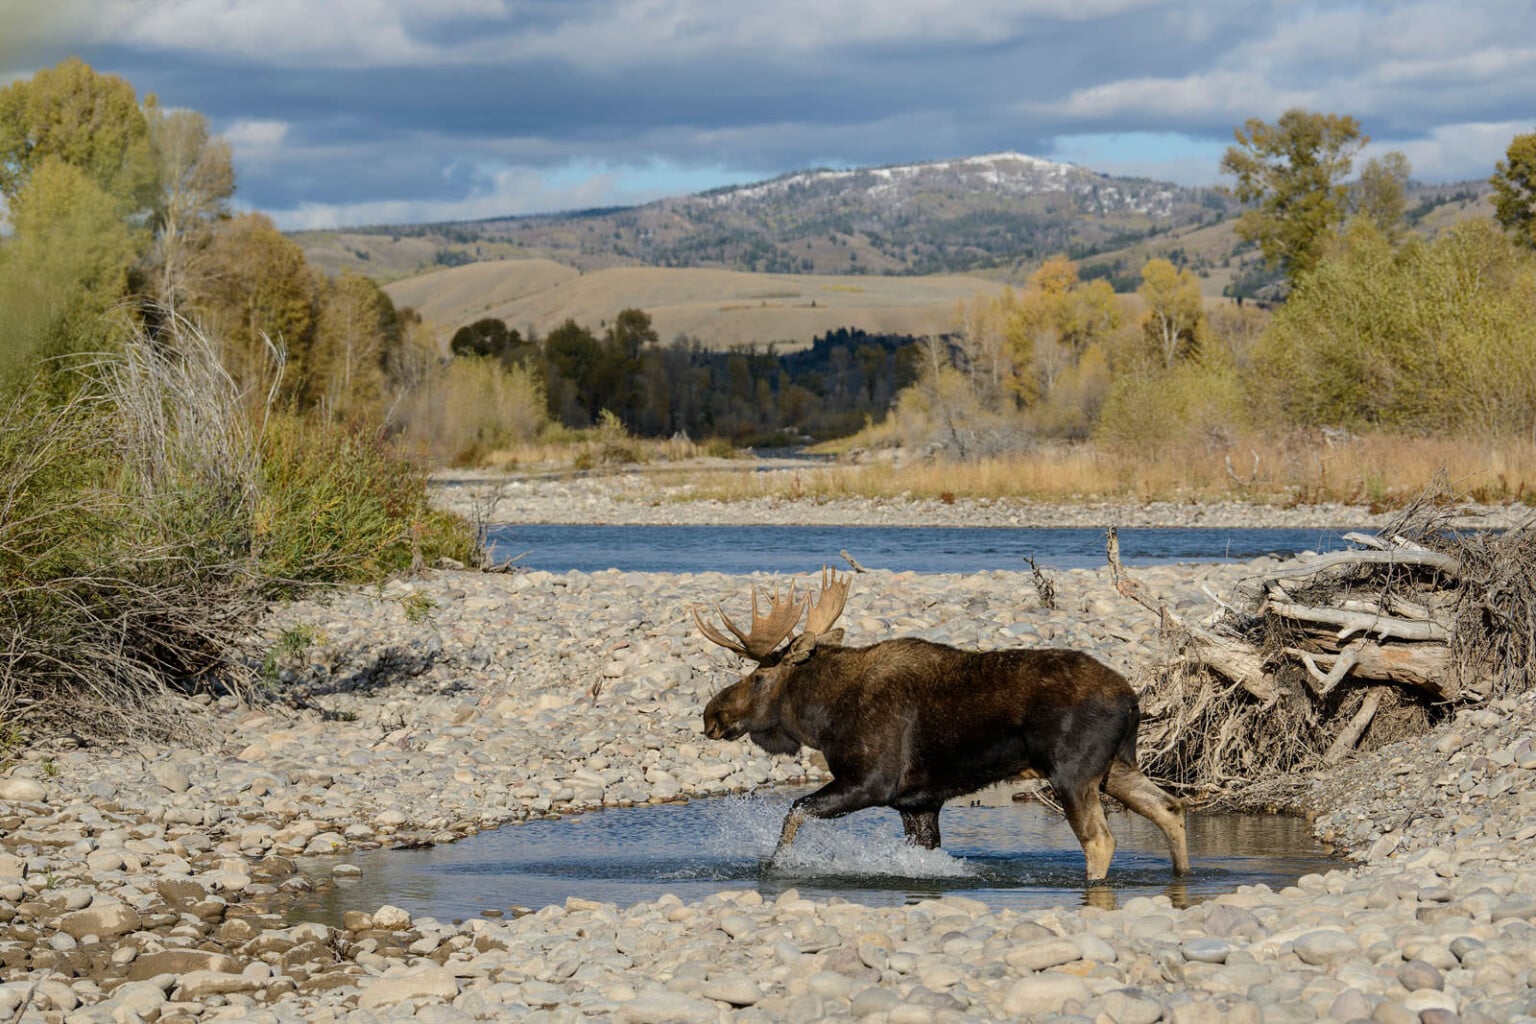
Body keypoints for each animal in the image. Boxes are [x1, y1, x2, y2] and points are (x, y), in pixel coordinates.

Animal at [694, 569, 1190, 881]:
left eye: (759, 678)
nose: (711, 714)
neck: (821, 717)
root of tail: (1131, 701)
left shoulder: (869, 783)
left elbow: (793, 814)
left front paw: (775, 867)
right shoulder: (918, 803)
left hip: (1072, 772)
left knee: (1101, 839)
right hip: (1116, 766)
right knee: (1170, 807)